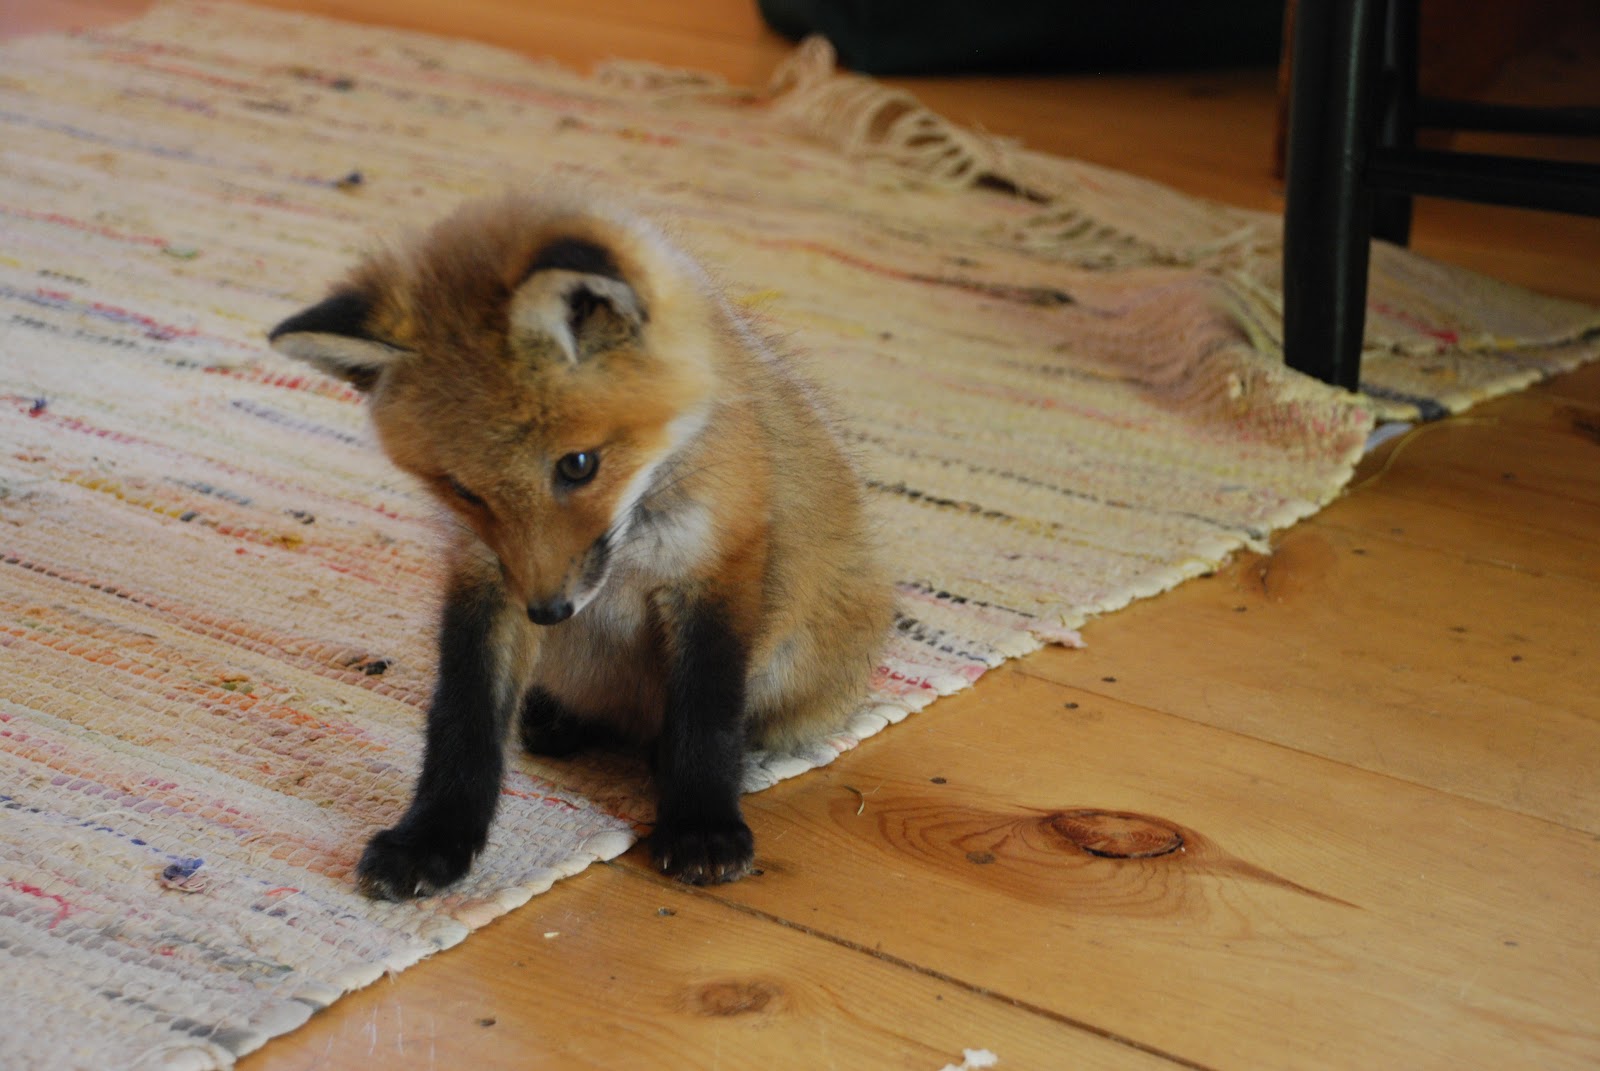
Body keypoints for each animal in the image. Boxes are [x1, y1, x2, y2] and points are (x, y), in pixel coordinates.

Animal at [267, 190, 894, 897]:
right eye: (463, 489)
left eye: (579, 465)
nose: (549, 611)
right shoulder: (487, 573)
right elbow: (463, 720)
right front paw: (432, 840)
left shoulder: (714, 566)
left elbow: (706, 716)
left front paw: (701, 825)